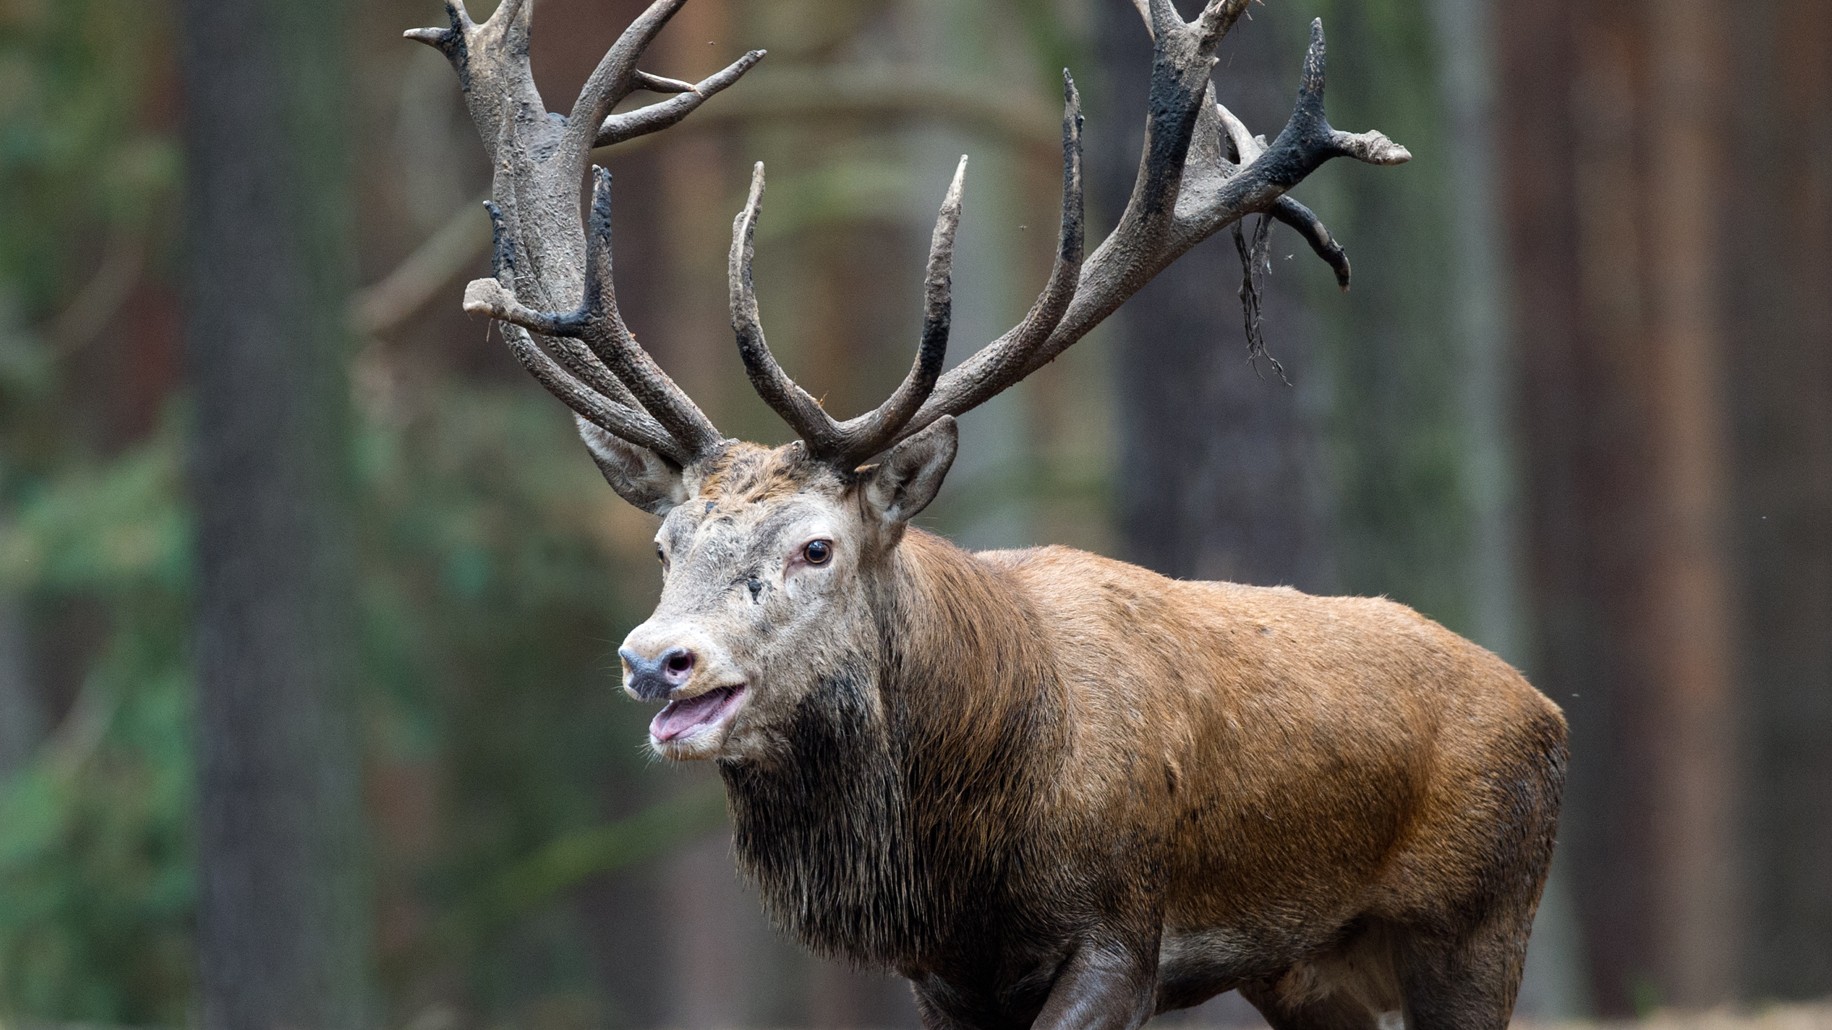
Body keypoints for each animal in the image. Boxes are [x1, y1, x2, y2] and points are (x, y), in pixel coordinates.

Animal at [406, 1, 1568, 1027]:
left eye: (817, 546)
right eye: (663, 544)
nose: (656, 659)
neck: (963, 871)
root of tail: (1545, 708)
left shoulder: (1122, 931)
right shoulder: (944, 982)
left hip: (1482, 921)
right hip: (1308, 973)